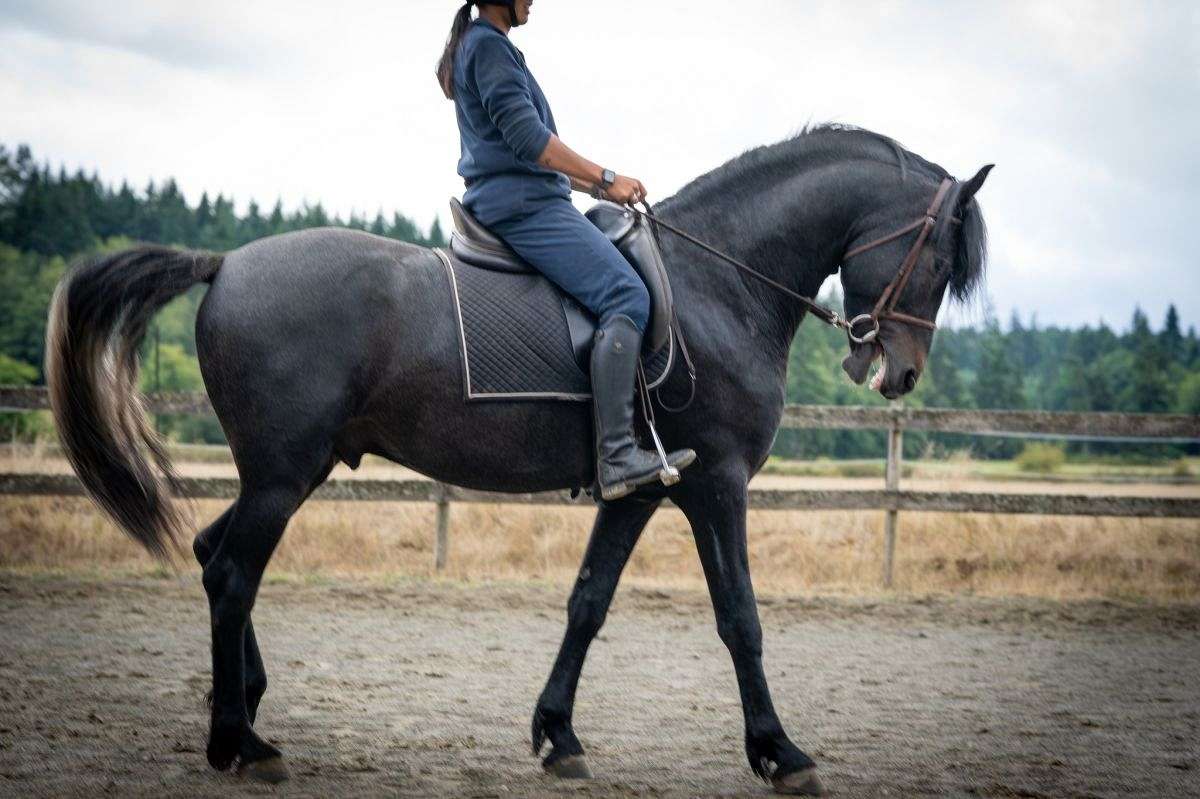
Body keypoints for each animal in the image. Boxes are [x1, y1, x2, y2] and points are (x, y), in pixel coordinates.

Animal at [45, 124, 990, 795]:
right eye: (940, 256)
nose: (899, 372)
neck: (718, 283)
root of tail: (225, 264)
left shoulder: (639, 489)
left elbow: (588, 603)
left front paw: (557, 735)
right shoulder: (715, 484)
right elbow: (740, 619)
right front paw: (779, 752)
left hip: (288, 471)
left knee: (214, 553)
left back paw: (242, 704)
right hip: (282, 474)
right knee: (232, 572)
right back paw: (239, 740)